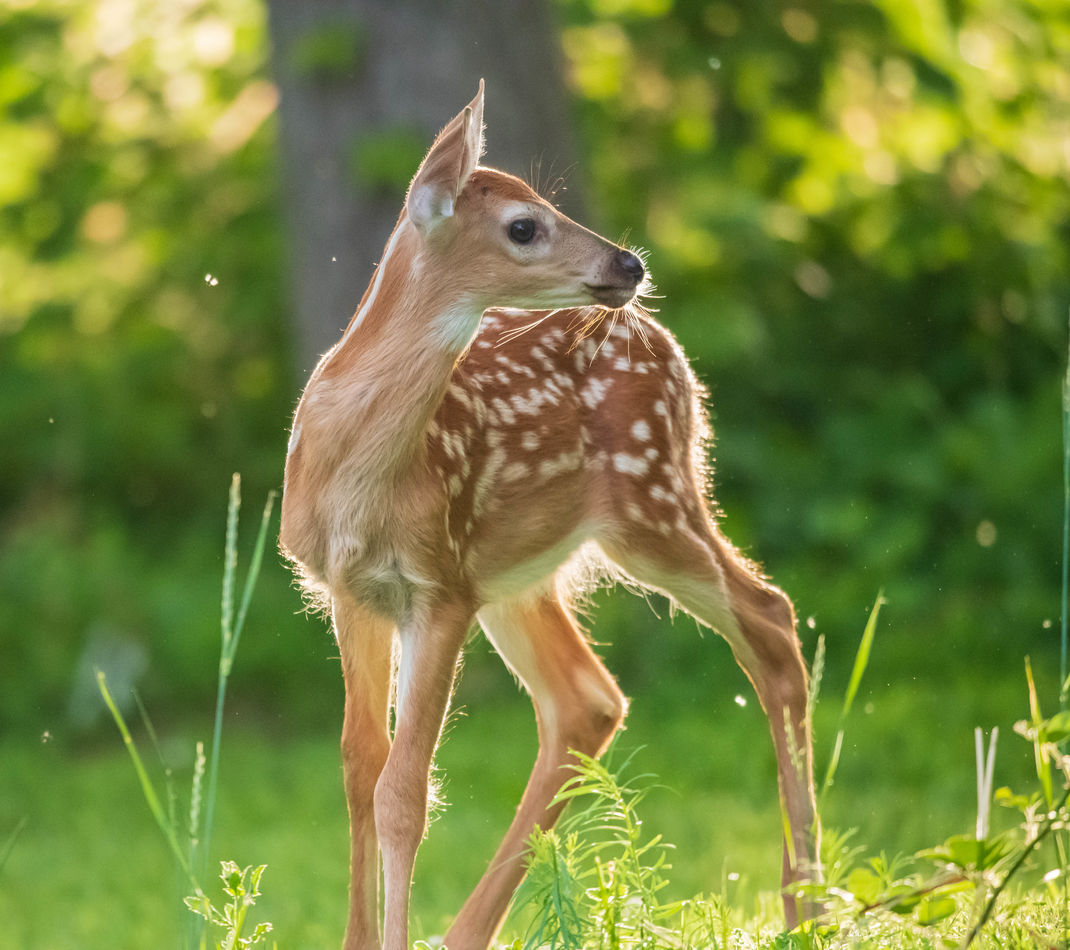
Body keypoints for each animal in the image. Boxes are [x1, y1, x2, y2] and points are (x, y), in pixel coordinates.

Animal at [280, 80, 819, 950]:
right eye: (523, 225)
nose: (629, 262)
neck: (360, 477)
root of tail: (671, 347)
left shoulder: (439, 585)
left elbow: (404, 793)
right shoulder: (350, 589)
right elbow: (361, 768)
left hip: (651, 501)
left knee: (768, 617)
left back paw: (808, 903)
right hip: (520, 570)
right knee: (588, 698)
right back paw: (466, 934)